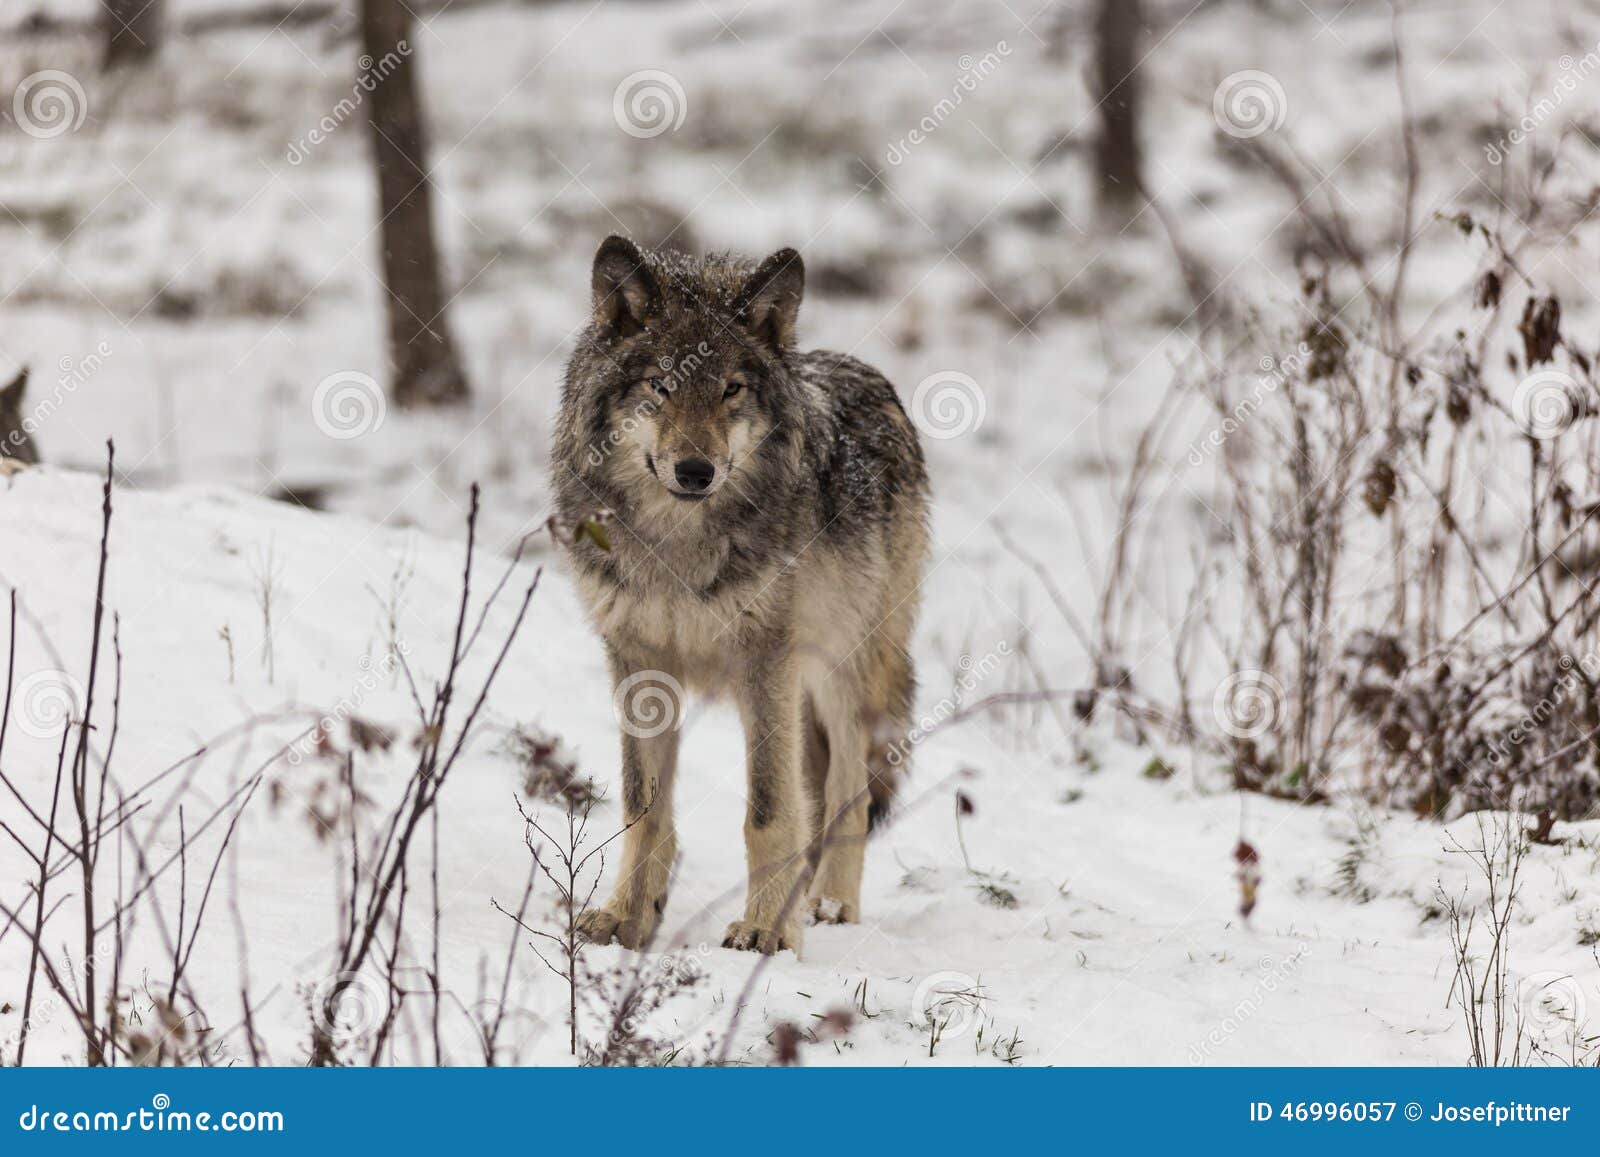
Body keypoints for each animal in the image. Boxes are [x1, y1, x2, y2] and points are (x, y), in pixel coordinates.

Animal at [552, 236, 930, 954]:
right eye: (661, 385)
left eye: (731, 388)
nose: (696, 470)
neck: (676, 546)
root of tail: (872, 379)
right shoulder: (639, 661)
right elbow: (643, 808)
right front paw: (626, 917)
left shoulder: (765, 661)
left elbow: (769, 811)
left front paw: (765, 931)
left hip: (842, 669)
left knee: (845, 794)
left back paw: (829, 906)